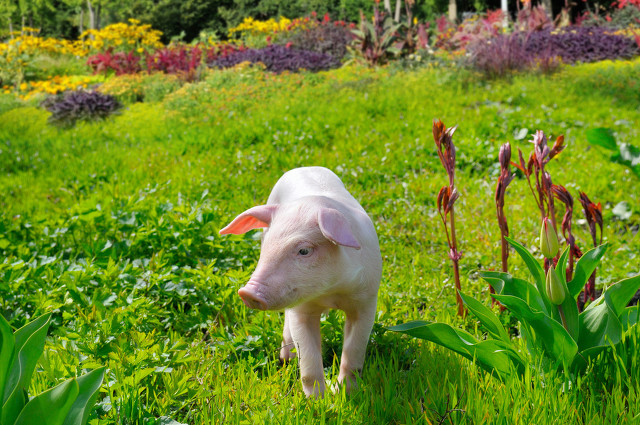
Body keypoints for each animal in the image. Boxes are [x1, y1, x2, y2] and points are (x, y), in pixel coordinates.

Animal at [220, 166, 382, 397]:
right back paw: (286, 358)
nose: (248, 293)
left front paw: (344, 393)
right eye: (266, 247)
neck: (331, 292)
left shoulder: (367, 299)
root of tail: (304, 168)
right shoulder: (302, 310)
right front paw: (318, 400)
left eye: (304, 250)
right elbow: (308, 358)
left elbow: (354, 350)